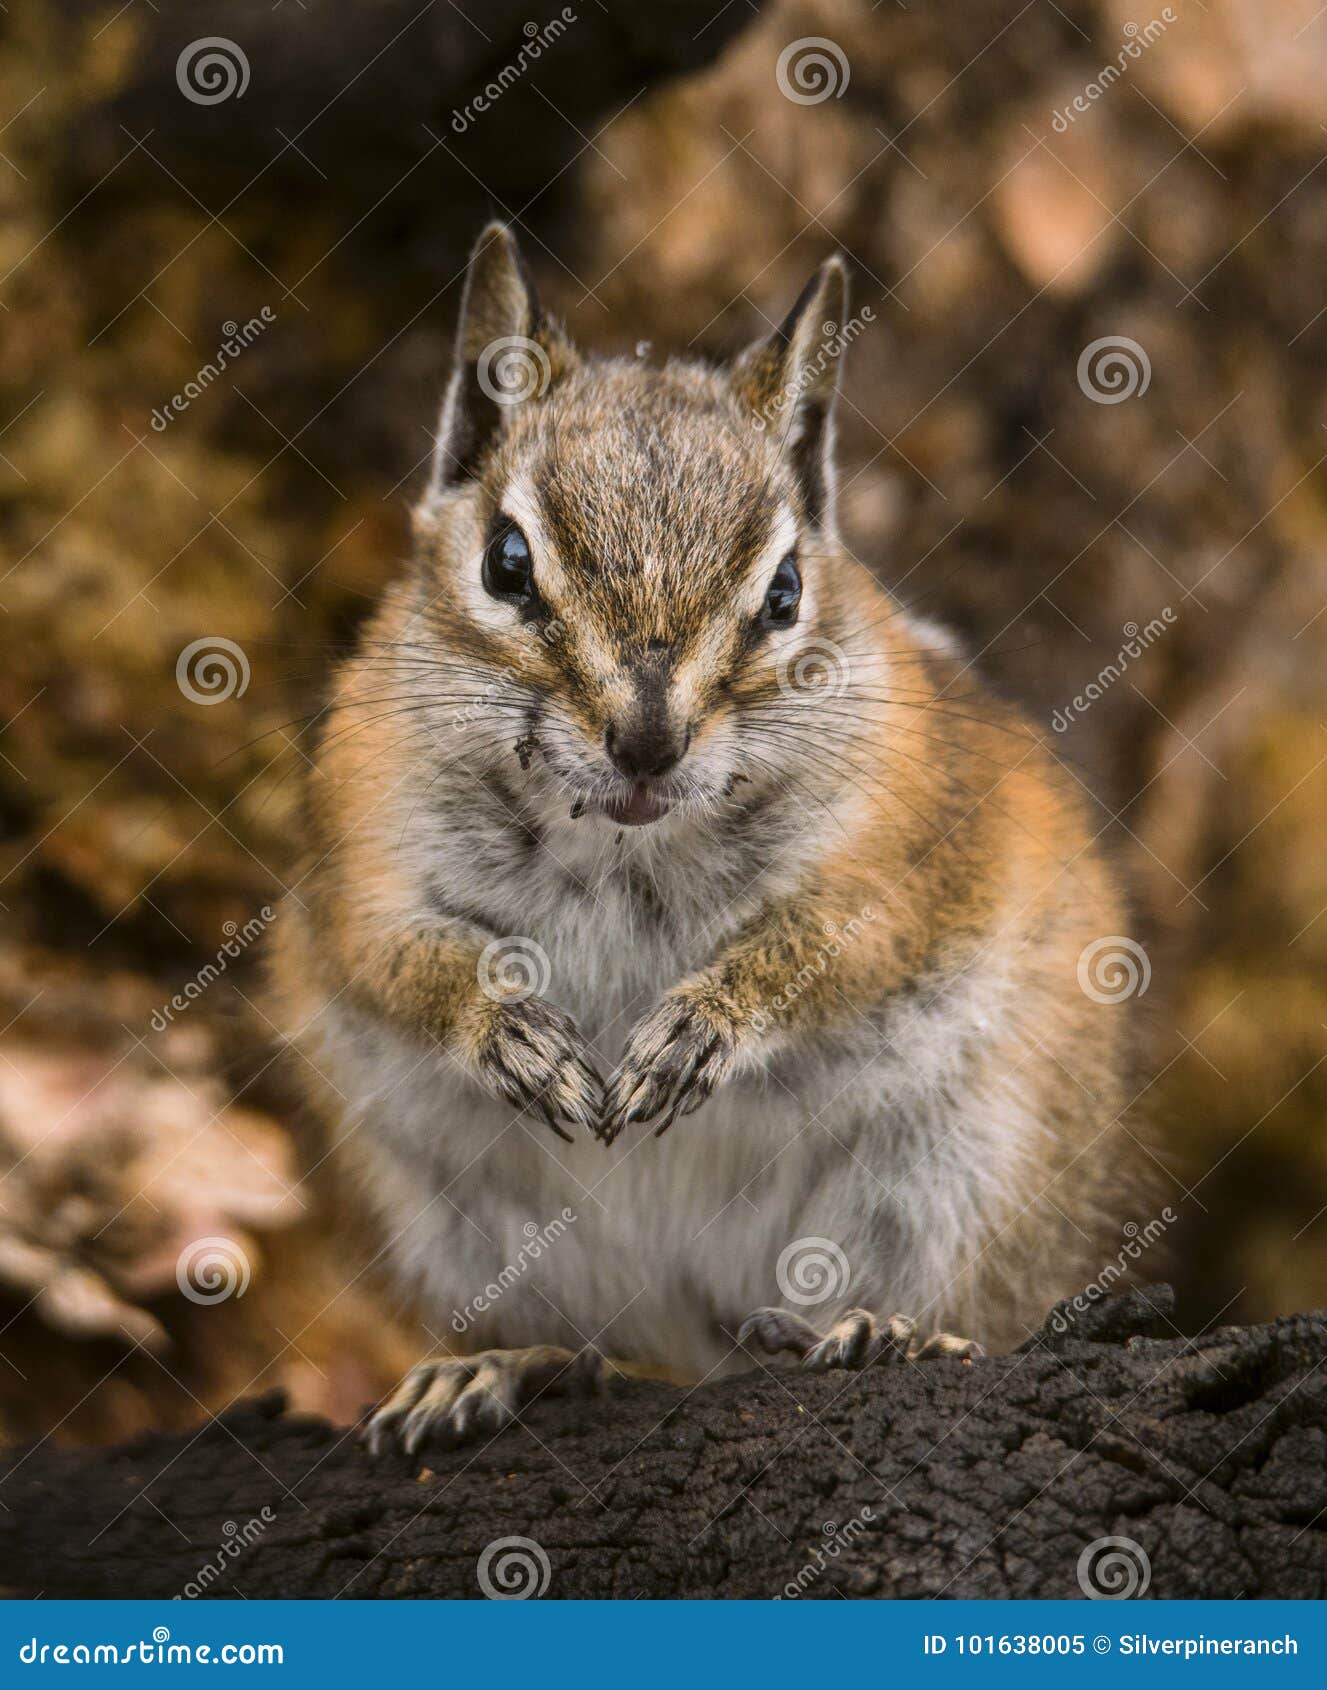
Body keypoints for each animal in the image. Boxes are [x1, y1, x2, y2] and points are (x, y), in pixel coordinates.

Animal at [269, 223, 1138, 1455]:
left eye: (785, 592)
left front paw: (701, 1026)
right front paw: (509, 1031)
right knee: (623, 1351)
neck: (618, 844)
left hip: (958, 1178)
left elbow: (828, 951)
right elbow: (393, 960)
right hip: (470, 1229)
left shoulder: (899, 857)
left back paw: (891, 1332)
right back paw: (501, 1363)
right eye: (502, 562)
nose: (646, 740)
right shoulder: (362, 856)